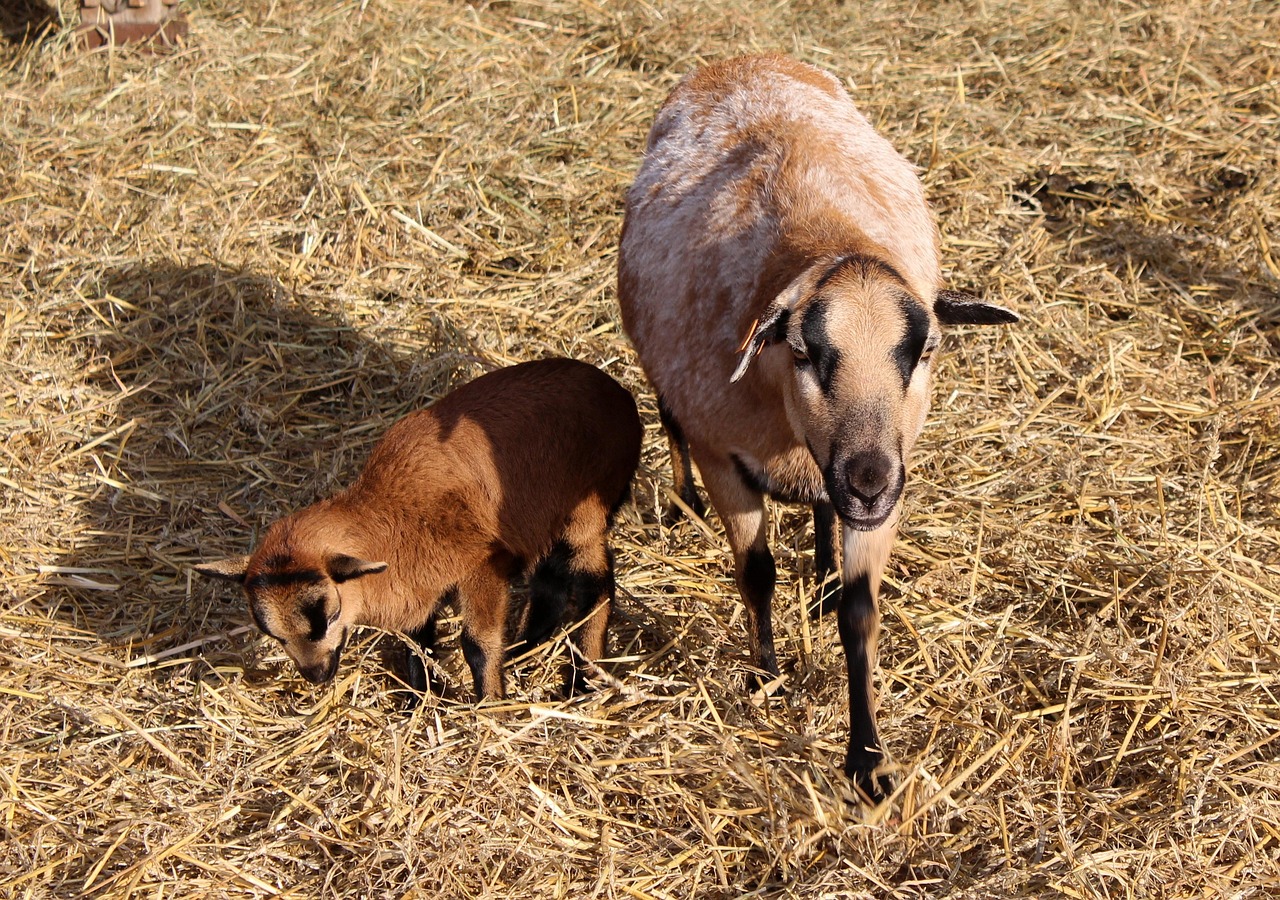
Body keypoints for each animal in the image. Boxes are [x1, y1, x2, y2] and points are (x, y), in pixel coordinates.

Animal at [196, 358, 642, 701]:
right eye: (272, 634)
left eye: (329, 614)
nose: (317, 676)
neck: (392, 515)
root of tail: (619, 395)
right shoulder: (417, 589)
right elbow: (417, 646)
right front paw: (420, 701)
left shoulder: (483, 565)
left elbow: (477, 643)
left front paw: (491, 705)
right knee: (551, 583)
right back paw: (525, 651)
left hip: (583, 514)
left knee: (596, 586)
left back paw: (585, 677)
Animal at [617, 54, 1018, 801]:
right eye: (804, 351)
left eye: (924, 351)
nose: (867, 481)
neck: (826, 239)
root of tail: (740, 58)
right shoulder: (725, 456)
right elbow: (756, 574)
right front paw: (766, 677)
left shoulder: (889, 484)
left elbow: (861, 613)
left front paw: (867, 760)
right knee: (667, 413)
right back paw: (683, 504)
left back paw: (826, 566)